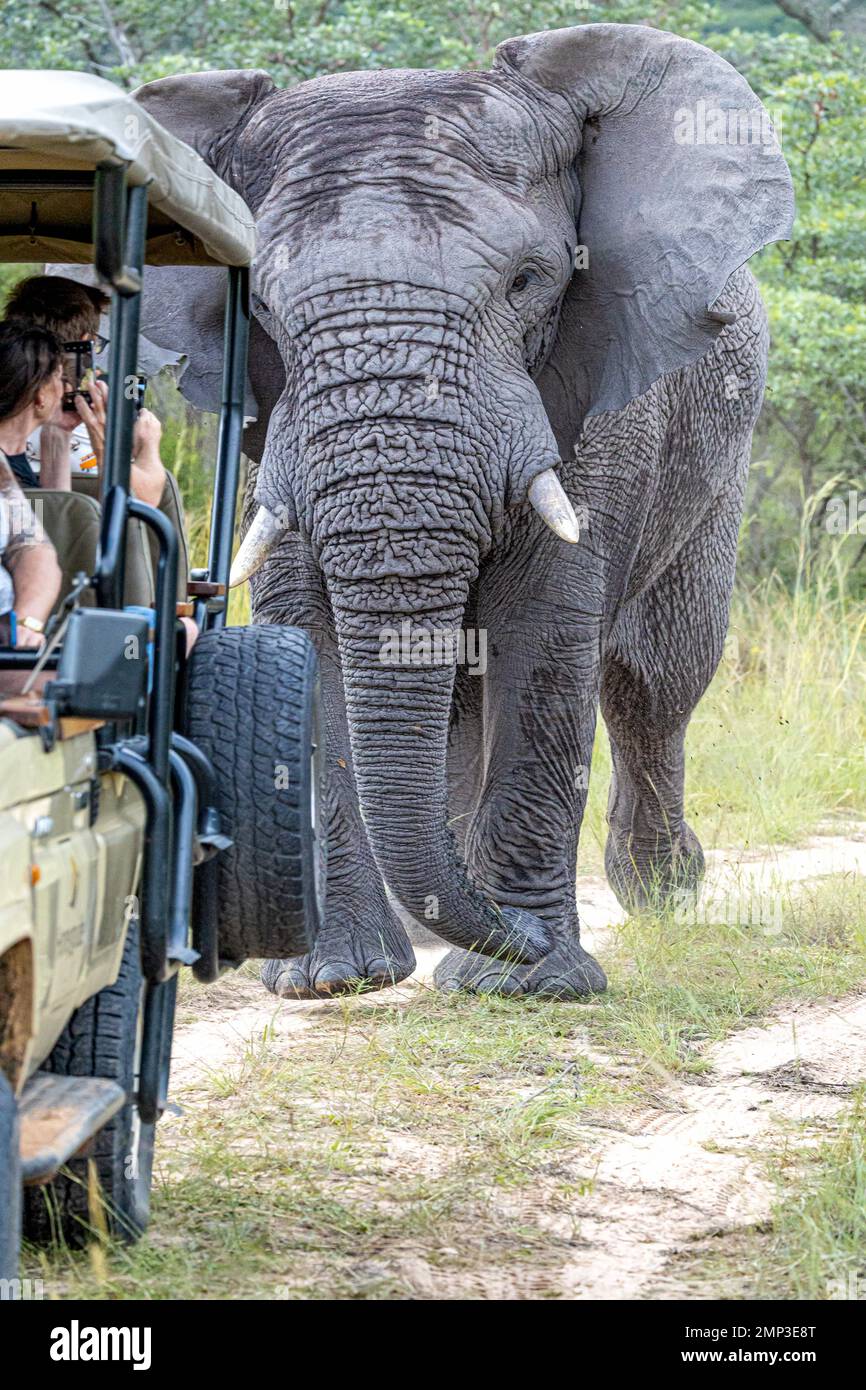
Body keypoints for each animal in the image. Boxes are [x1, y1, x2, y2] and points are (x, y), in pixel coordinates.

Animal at [130, 22, 794, 999]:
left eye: (526, 282)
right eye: (264, 305)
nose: (519, 935)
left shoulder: (597, 393)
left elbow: (548, 626)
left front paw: (526, 982)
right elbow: (309, 626)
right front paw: (331, 978)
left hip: (721, 460)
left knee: (656, 682)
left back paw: (660, 890)